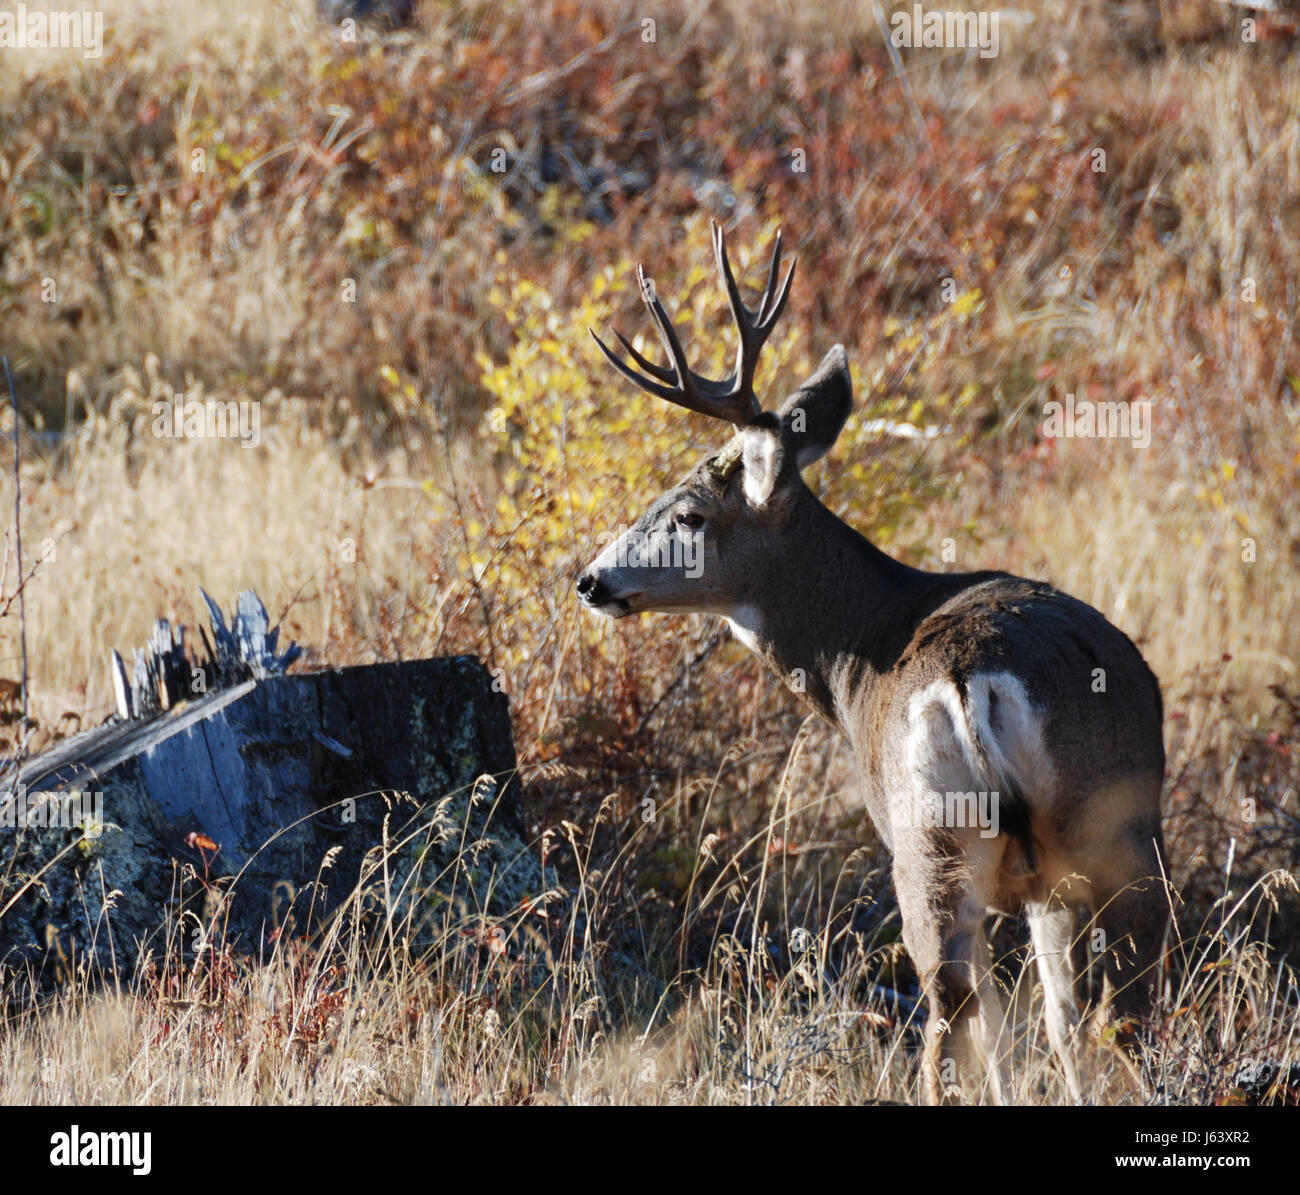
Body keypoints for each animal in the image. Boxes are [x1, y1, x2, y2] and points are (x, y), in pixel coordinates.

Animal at [575, 224, 1169, 1105]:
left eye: (687, 513)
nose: (591, 580)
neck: (857, 649)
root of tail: (971, 680)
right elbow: (1048, 1027)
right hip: (1112, 827)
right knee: (1108, 1012)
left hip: (928, 838)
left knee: (951, 1010)